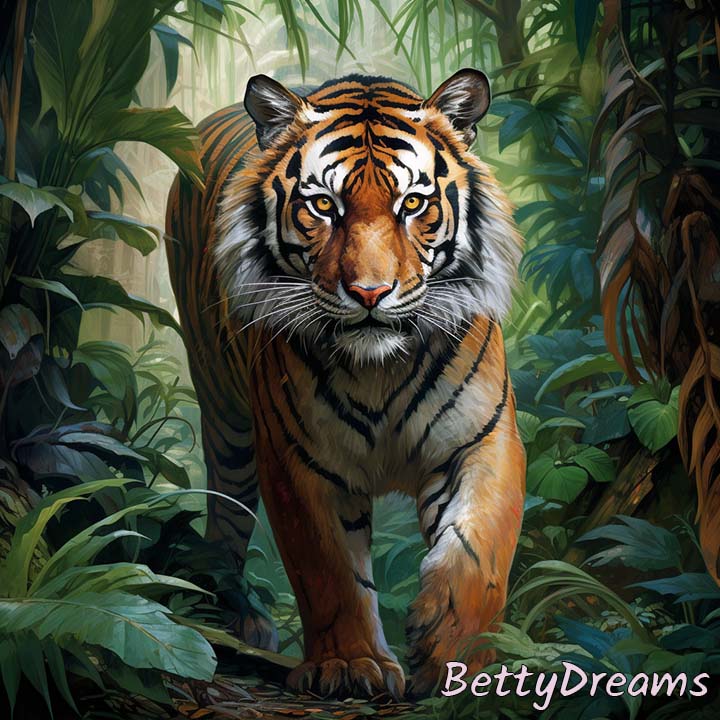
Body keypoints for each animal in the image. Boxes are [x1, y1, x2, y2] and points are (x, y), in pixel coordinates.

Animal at [165, 69, 526, 699]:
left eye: (413, 203)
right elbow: (328, 571)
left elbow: (479, 548)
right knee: (227, 518)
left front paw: (454, 649)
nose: (369, 293)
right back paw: (237, 619)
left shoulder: (482, 439)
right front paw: (351, 664)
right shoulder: (300, 462)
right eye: (323, 206)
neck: (380, 367)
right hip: (228, 424)